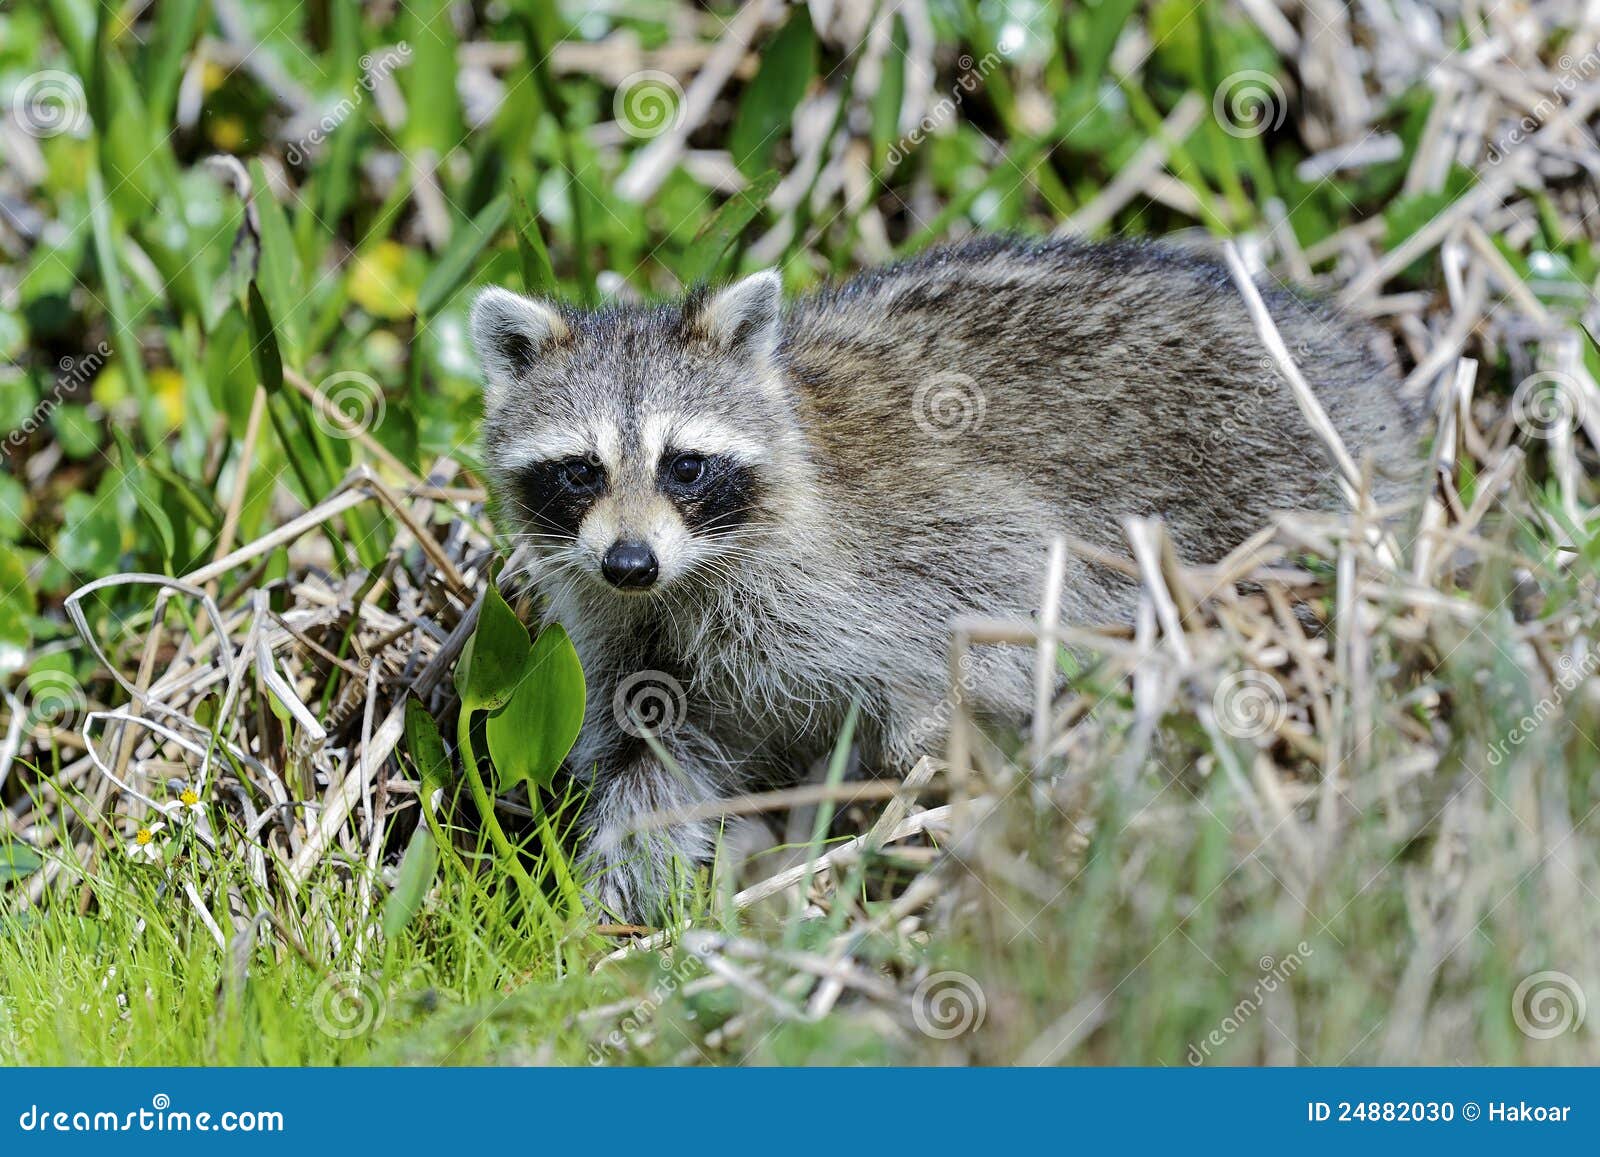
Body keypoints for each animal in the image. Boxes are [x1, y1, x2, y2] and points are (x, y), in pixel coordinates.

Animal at [470, 235, 1418, 921]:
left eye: (686, 466)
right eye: (581, 471)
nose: (629, 561)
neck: (686, 578)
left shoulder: (906, 542)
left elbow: (1014, 591)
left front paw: (940, 742)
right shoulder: (627, 635)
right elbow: (649, 760)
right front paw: (612, 908)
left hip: (1272, 472)